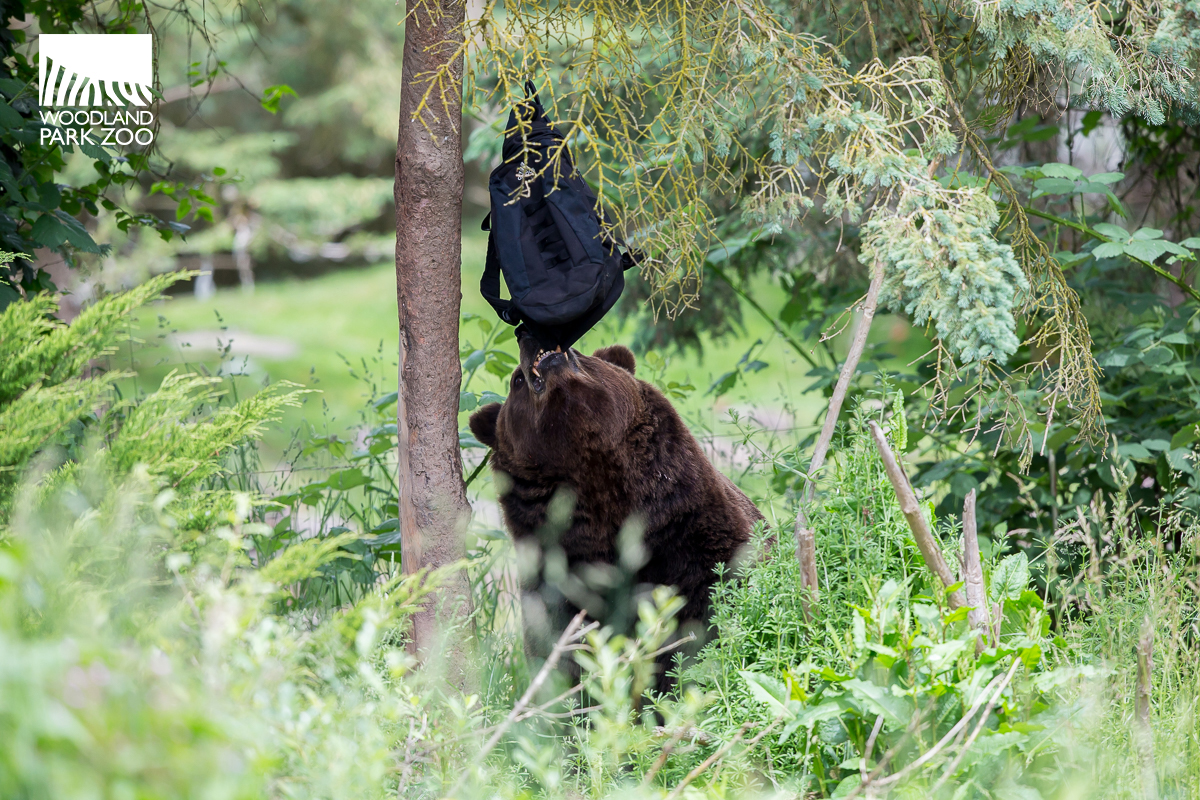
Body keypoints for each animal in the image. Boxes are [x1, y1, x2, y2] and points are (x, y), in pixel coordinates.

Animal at [468, 327, 763, 687]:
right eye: (517, 381)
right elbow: (568, 655)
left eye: (577, 349)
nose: (530, 338)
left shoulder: (695, 539)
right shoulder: (561, 576)